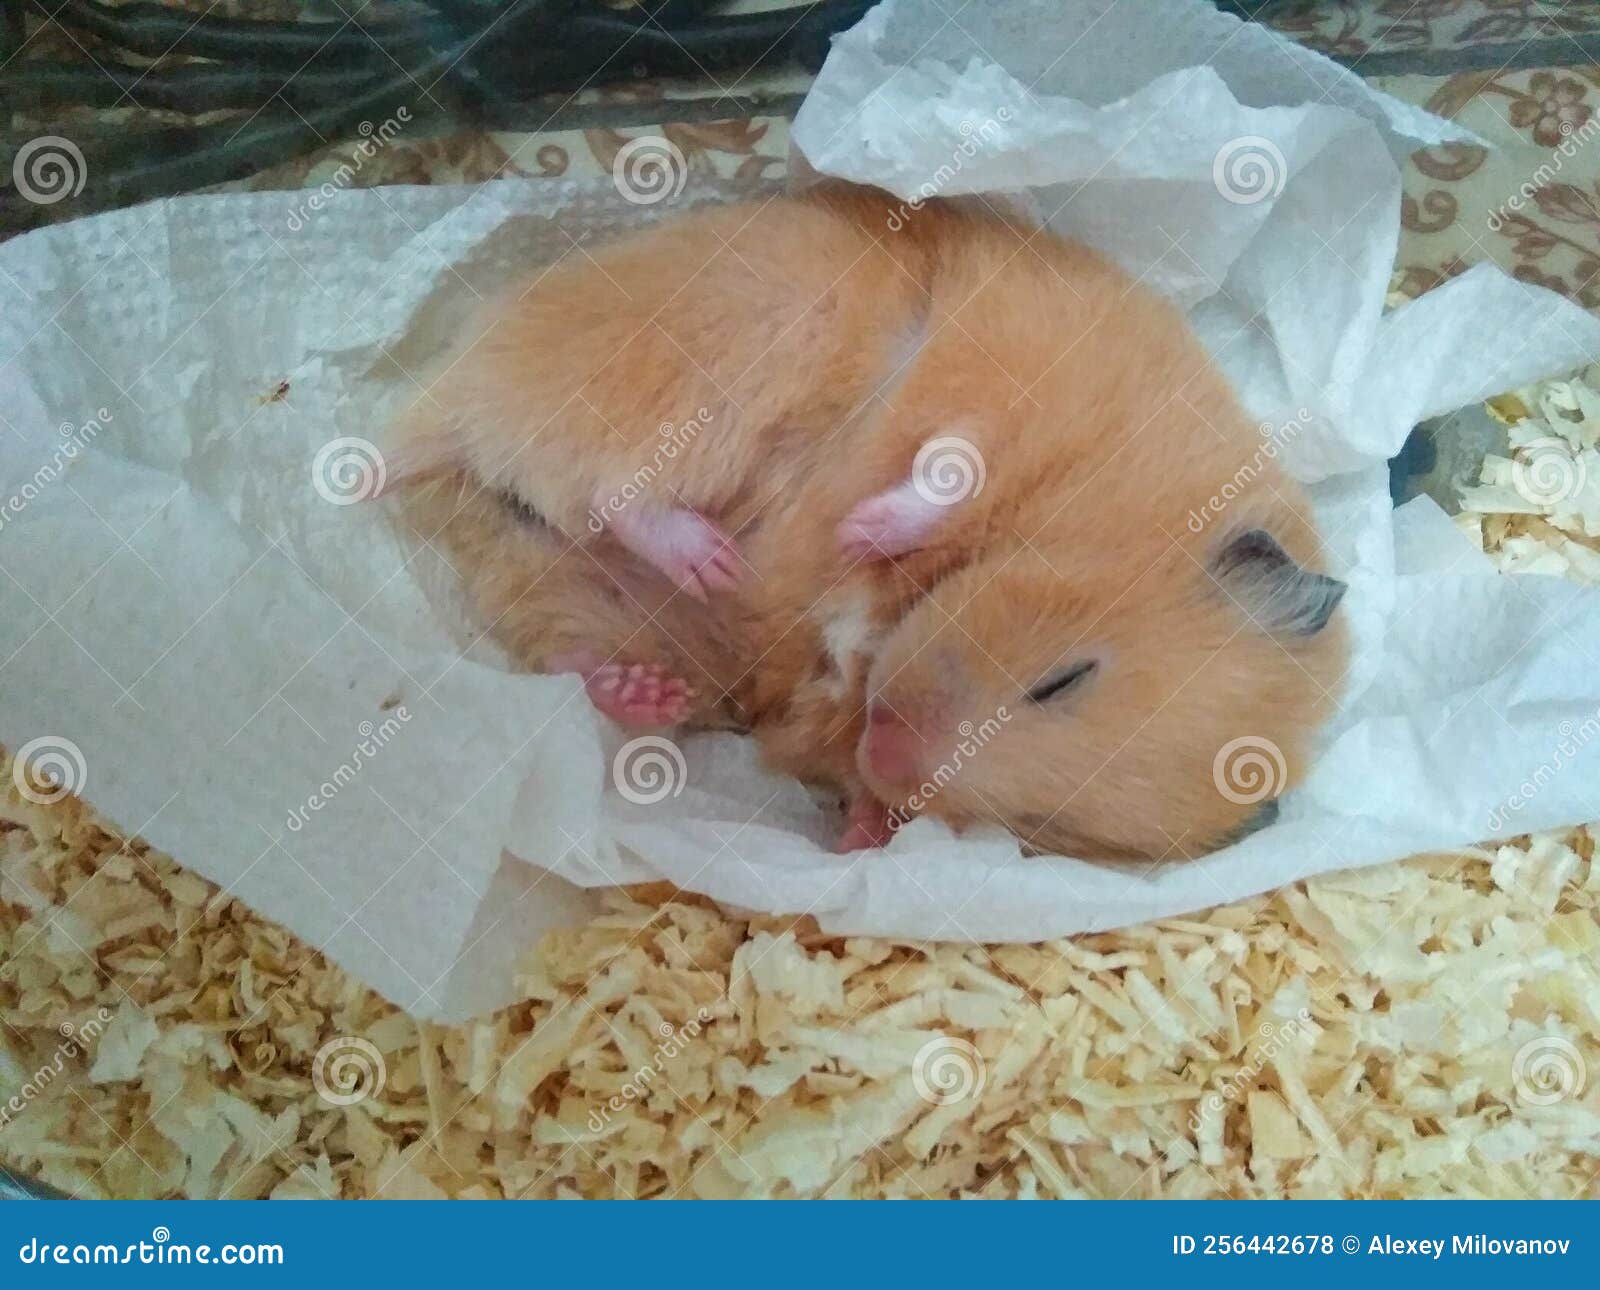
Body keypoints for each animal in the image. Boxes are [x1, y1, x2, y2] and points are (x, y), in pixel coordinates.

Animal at [389, 185, 1349, 862]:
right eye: (1066, 678)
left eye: (1042, 823)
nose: (888, 757)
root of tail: (432, 407)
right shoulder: (1016, 389)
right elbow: (947, 467)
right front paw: (858, 532)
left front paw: (864, 830)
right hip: (744, 341)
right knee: (604, 490)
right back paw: (709, 554)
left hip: (586, 592)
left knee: (573, 646)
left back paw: (645, 685)